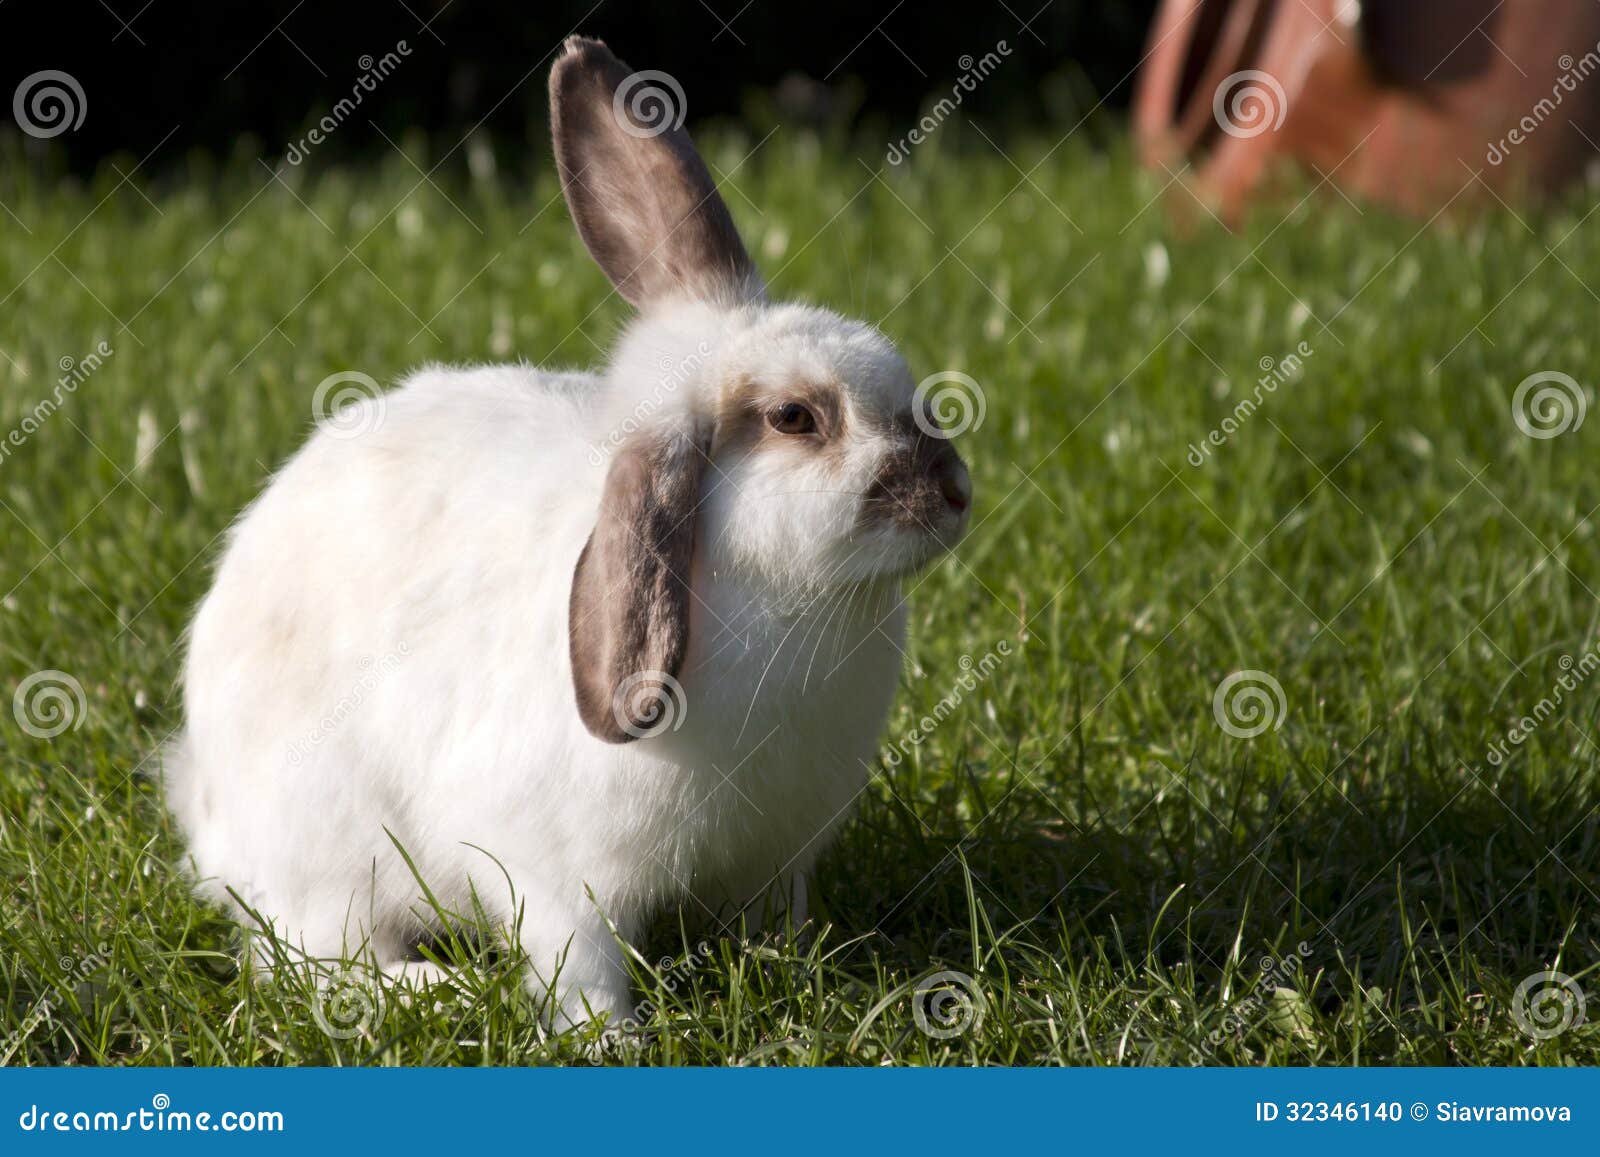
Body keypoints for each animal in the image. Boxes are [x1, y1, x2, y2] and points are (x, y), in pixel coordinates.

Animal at [164, 35, 972, 1028]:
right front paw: (611, 1037)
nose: (954, 492)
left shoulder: (773, 861)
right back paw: (432, 988)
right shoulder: (553, 875)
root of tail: (211, 814)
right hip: (328, 849)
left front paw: (799, 975)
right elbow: (577, 960)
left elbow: (771, 922)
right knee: (316, 961)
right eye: (795, 418)